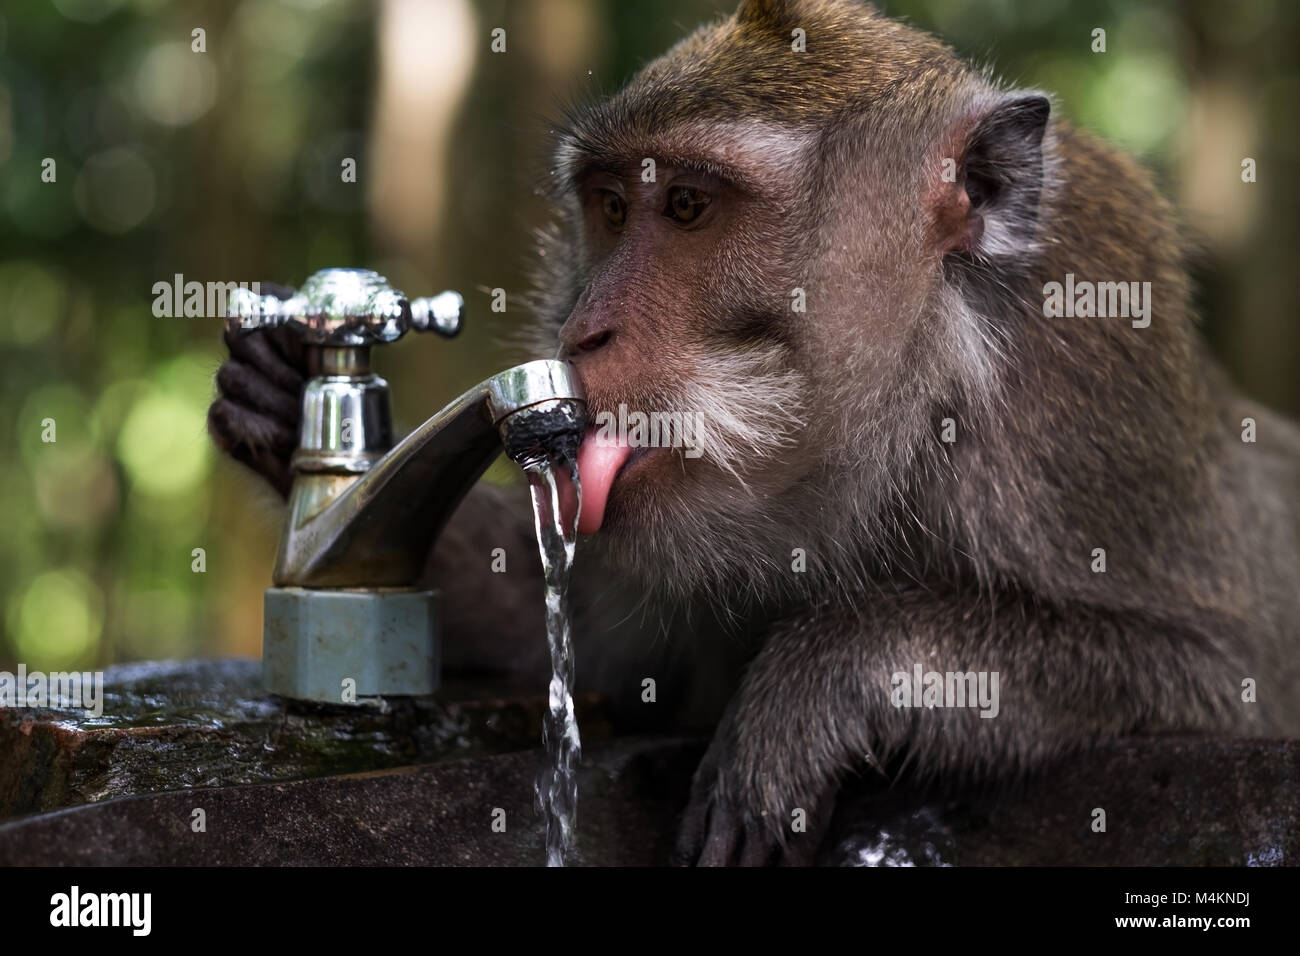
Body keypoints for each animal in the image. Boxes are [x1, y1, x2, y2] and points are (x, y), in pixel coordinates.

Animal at [209, 0, 1300, 866]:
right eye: (613, 206)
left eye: (689, 205)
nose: (582, 330)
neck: (916, 398)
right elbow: (584, 647)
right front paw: (284, 402)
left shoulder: (1076, 414)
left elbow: (1209, 670)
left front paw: (825, 675)